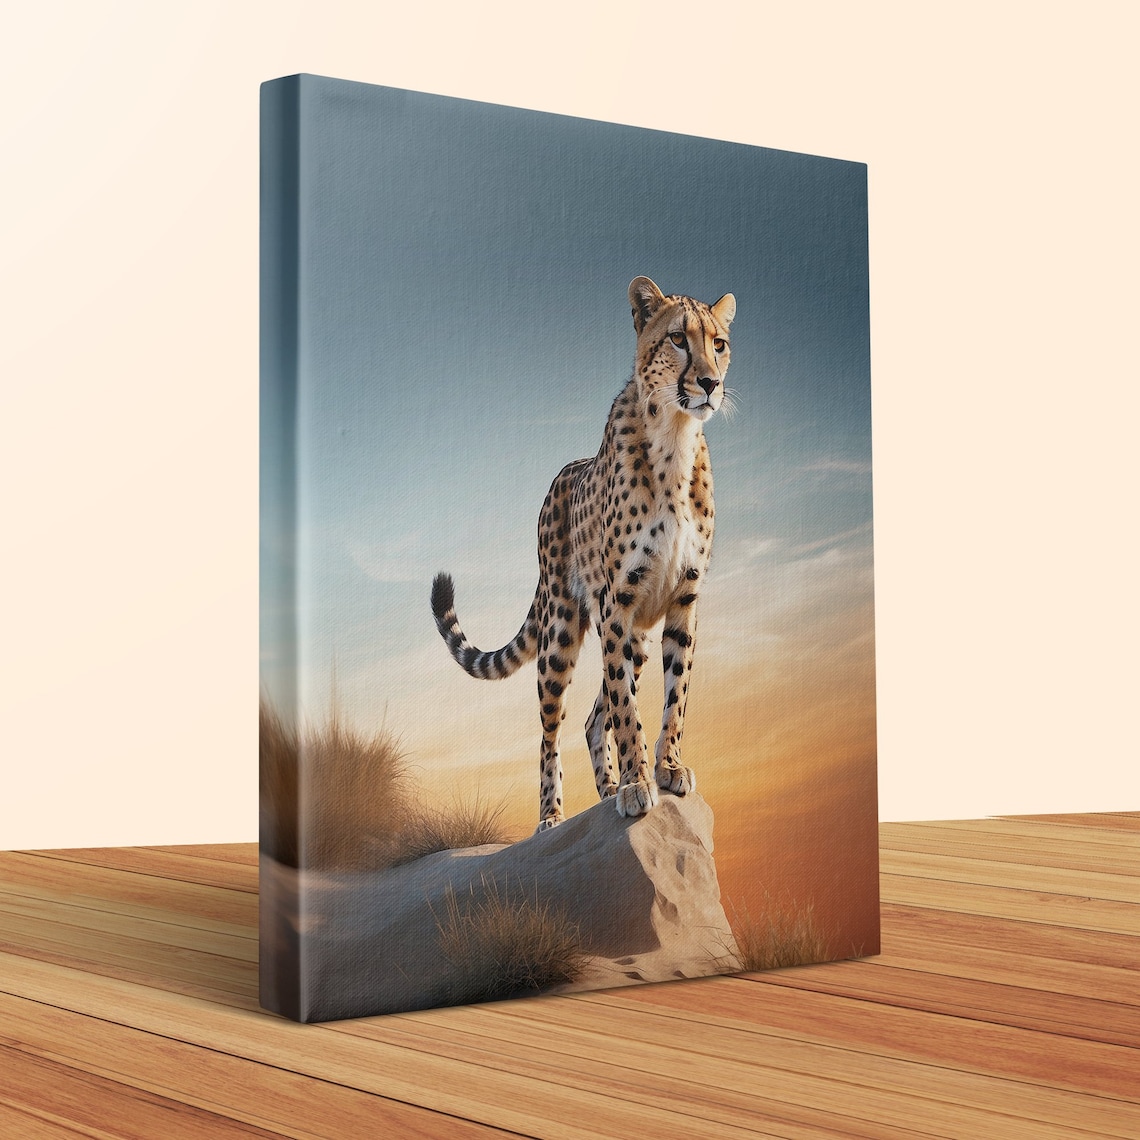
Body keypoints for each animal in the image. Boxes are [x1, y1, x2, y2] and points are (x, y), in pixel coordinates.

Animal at [431, 276, 736, 831]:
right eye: (678, 339)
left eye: (719, 343)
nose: (708, 383)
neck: (676, 438)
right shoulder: (616, 603)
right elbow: (627, 710)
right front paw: (638, 783)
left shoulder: (683, 599)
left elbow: (674, 698)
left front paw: (667, 768)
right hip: (562, 631)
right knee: (553, 729)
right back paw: (553, 815)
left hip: (636, 637)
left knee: (597, 715)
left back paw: (607, 787)